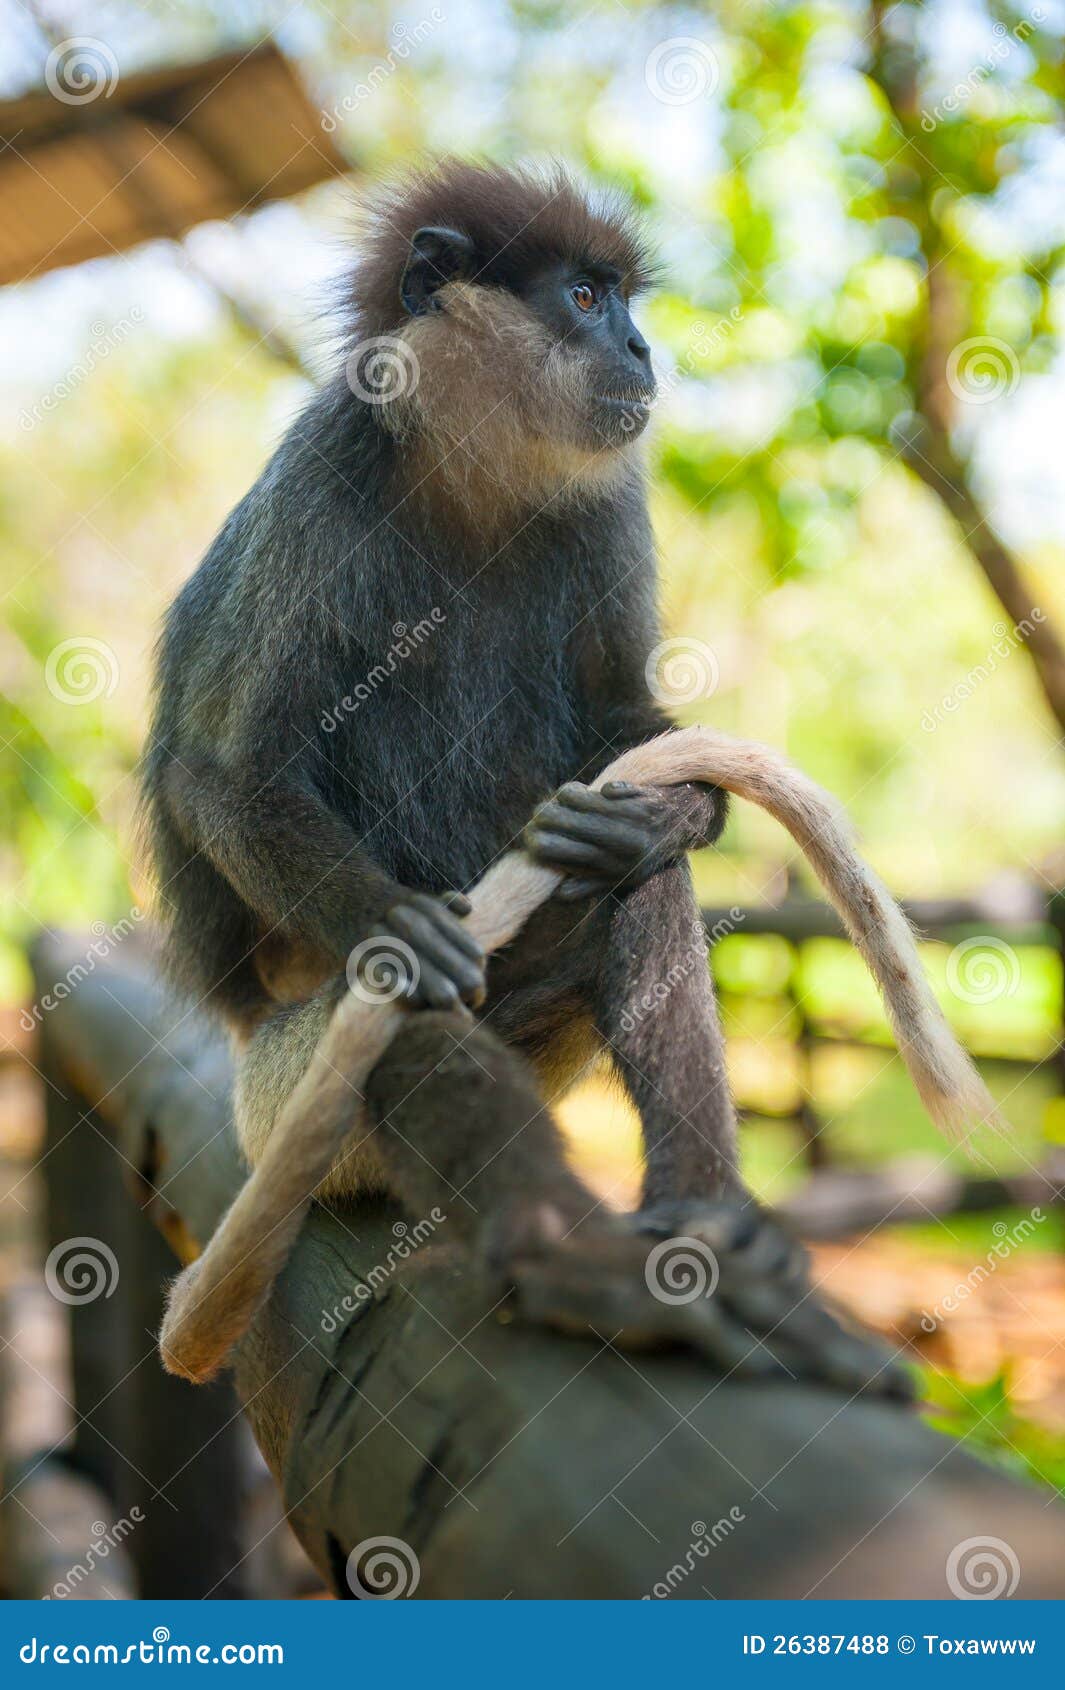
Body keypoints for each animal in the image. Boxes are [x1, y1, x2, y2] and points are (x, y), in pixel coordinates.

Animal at [143, 161, 999, 1388]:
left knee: (627, 898)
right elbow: (223, 777)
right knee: (405, 1027)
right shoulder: (323, 477)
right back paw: (575, 1261)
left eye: (622, 301)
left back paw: (708, 1227)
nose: (640, 346)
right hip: (285, 1093)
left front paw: (663, 818)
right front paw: (397, 929)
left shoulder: (609, 495)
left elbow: (622, 732)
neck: (469, 476)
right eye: (586, 298)